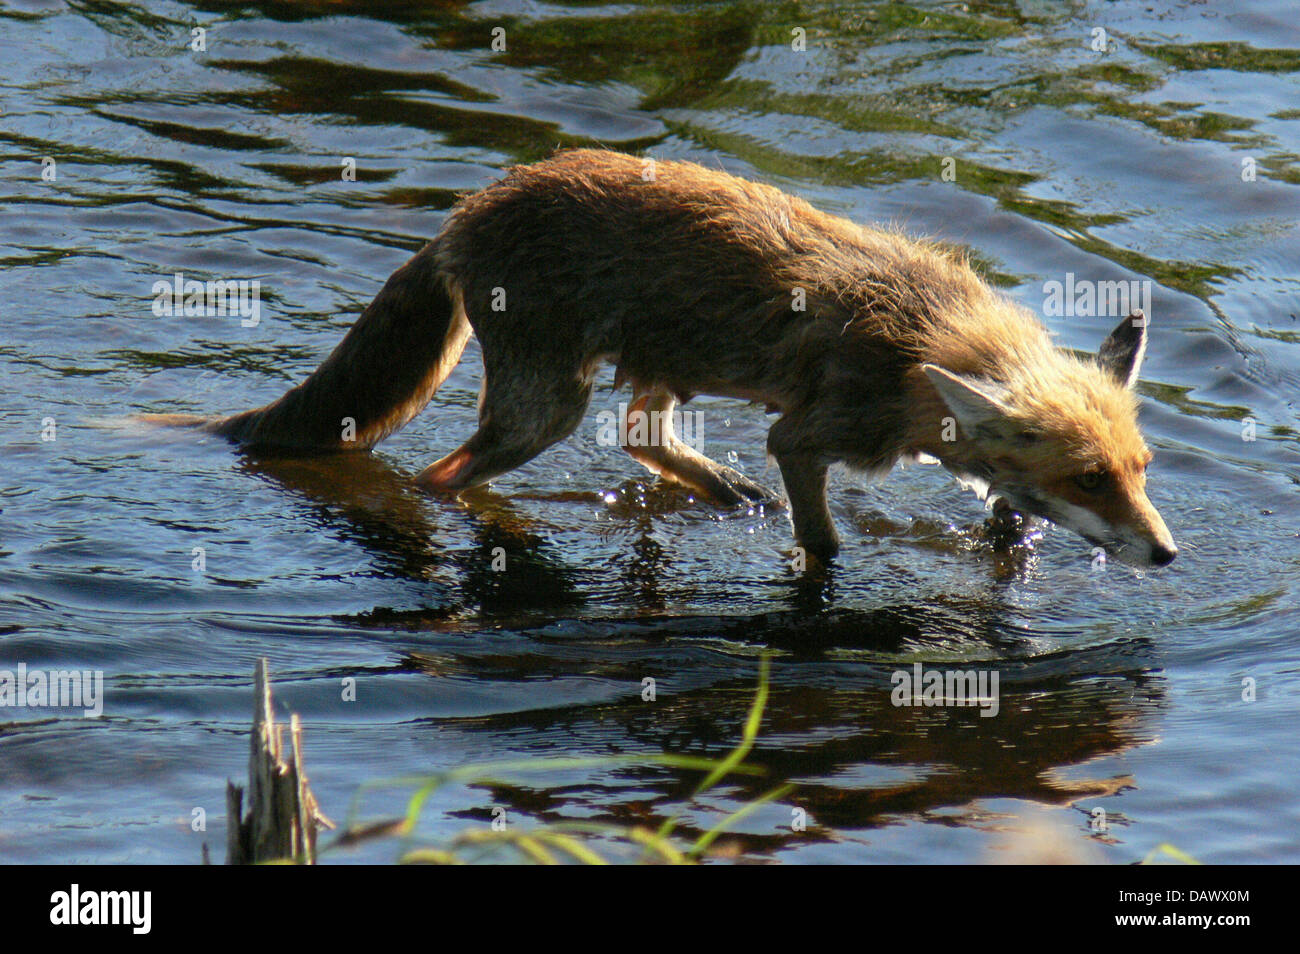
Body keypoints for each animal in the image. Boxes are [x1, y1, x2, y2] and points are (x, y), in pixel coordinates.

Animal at [143, 149, 1177, 567]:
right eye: (1090, 479)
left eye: (1137, 469)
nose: (1168, 555)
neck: (925, 338)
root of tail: (465, 213)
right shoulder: (805, 438)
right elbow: (823, 542)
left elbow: (1002, 512)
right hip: (544, 409)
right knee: (440, 479)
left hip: (655, 372)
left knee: (640, 441)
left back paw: (717, 491)